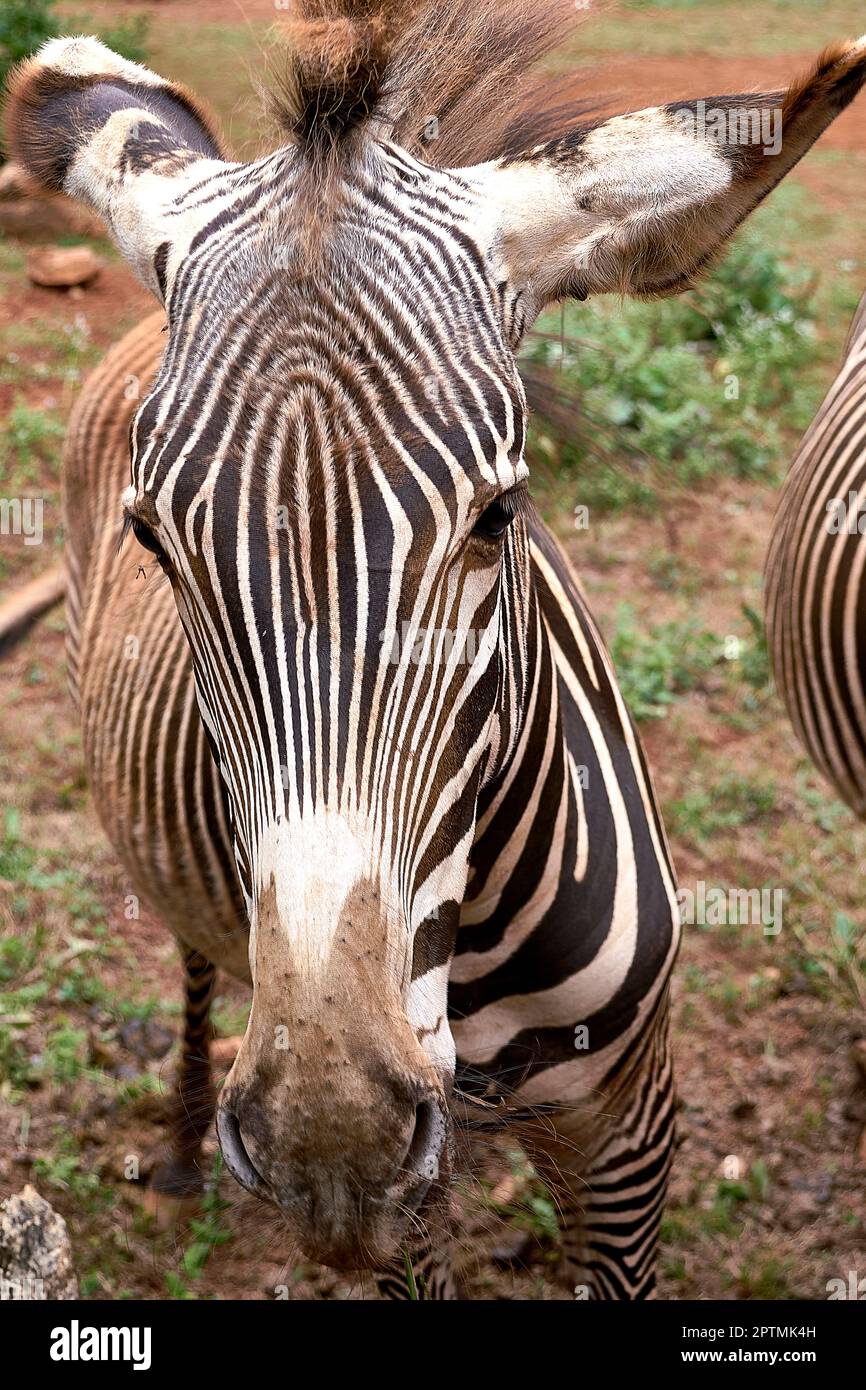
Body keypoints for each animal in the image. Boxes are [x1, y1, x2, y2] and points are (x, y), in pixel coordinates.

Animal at [4, 0, 865, 1299]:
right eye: (155, 538)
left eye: (498, 515)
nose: (331, 1136)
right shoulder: (409, 1201)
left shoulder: (631, 1133)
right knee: (197, 965)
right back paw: (183, 1136)